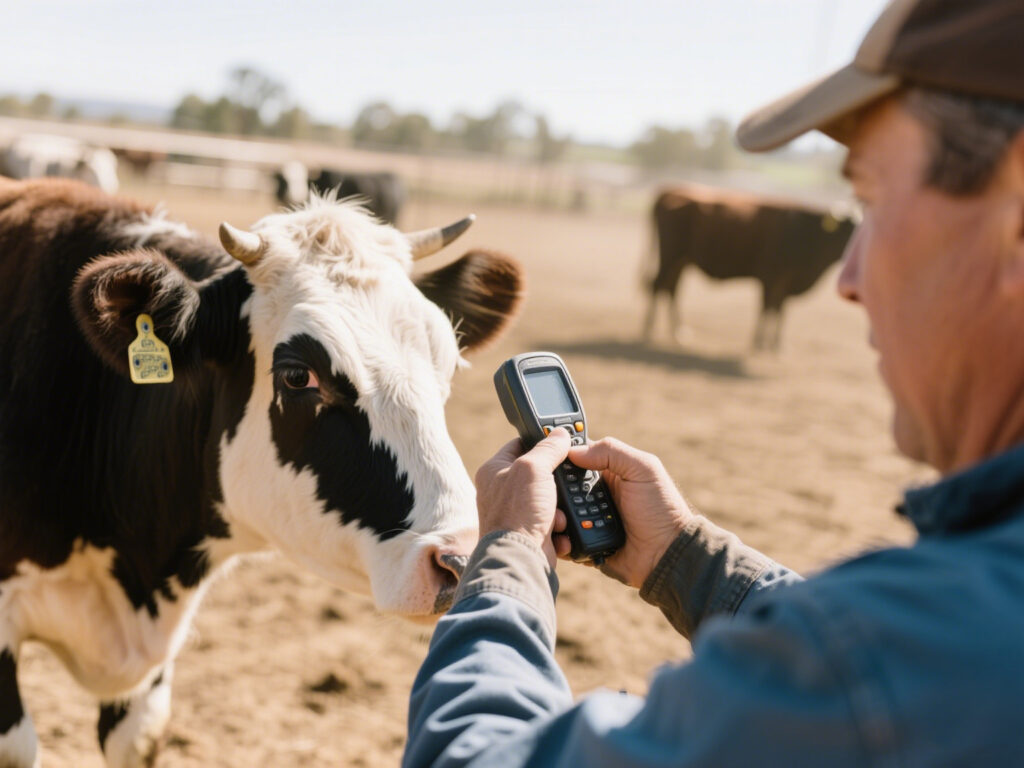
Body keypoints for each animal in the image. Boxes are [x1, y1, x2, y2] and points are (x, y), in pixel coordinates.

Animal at [642, 185, 856, 351]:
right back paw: (648, 330)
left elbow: (780, 310)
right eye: (851, 229)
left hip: (681, 261)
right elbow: (767, 307)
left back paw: (678, 332)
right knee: (657, 285)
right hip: (670, 256)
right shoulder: (770, 276)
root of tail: (670, 192)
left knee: (671, 289)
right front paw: (759, 343)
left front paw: (777, 345)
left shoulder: (786, 281)